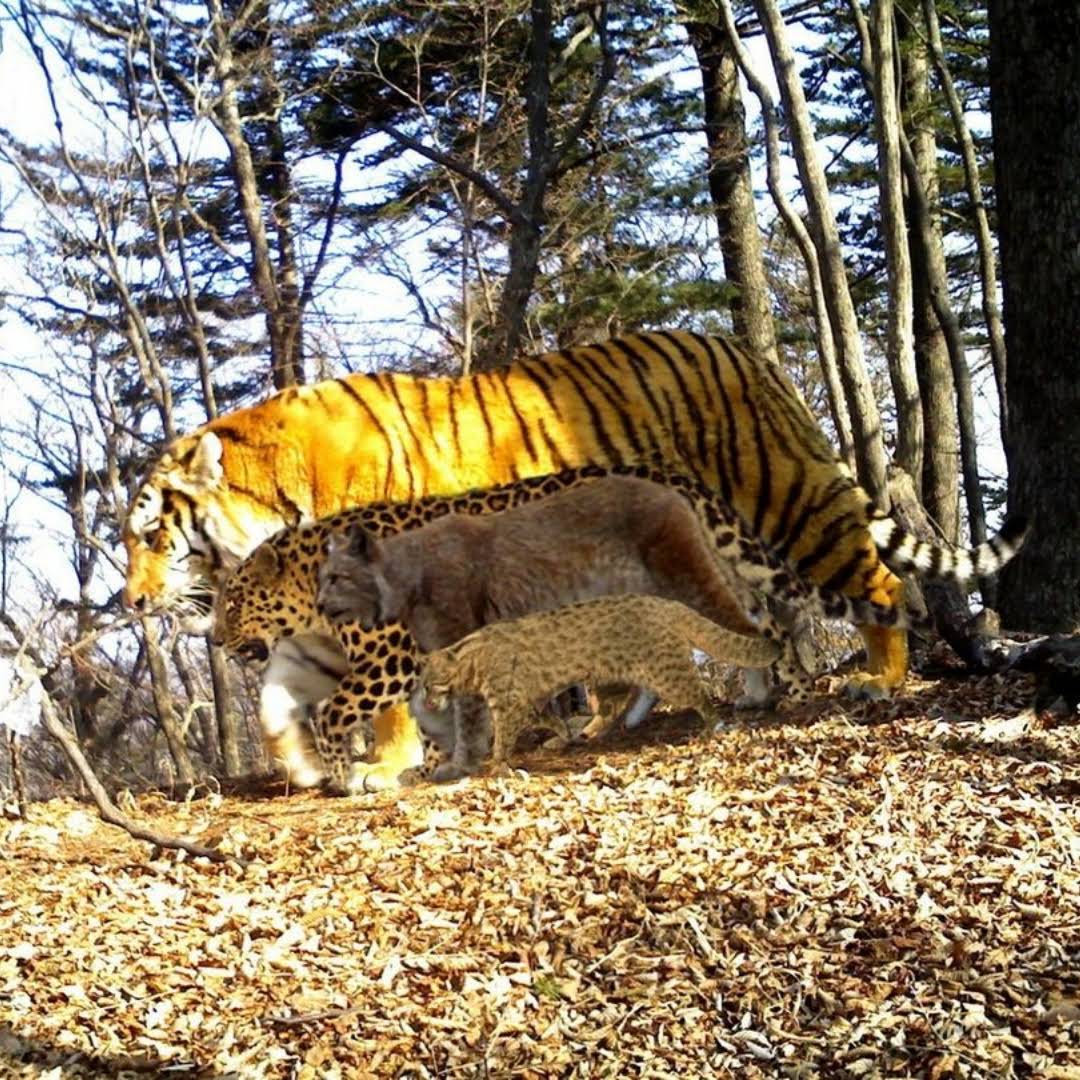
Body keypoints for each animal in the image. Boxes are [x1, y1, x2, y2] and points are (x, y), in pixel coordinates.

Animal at [125, 330, 1028, 787]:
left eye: (149, 534)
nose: (131, 602)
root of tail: (744, 348)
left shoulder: (387, 624)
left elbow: (387, 706)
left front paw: (387, 765)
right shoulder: (320, 635)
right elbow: (278, 703)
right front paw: (307, 766)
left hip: (790, 503)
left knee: (876, 580)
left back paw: (882, 677)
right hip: (716, 542)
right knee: (747, 615)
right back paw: (748, 694)